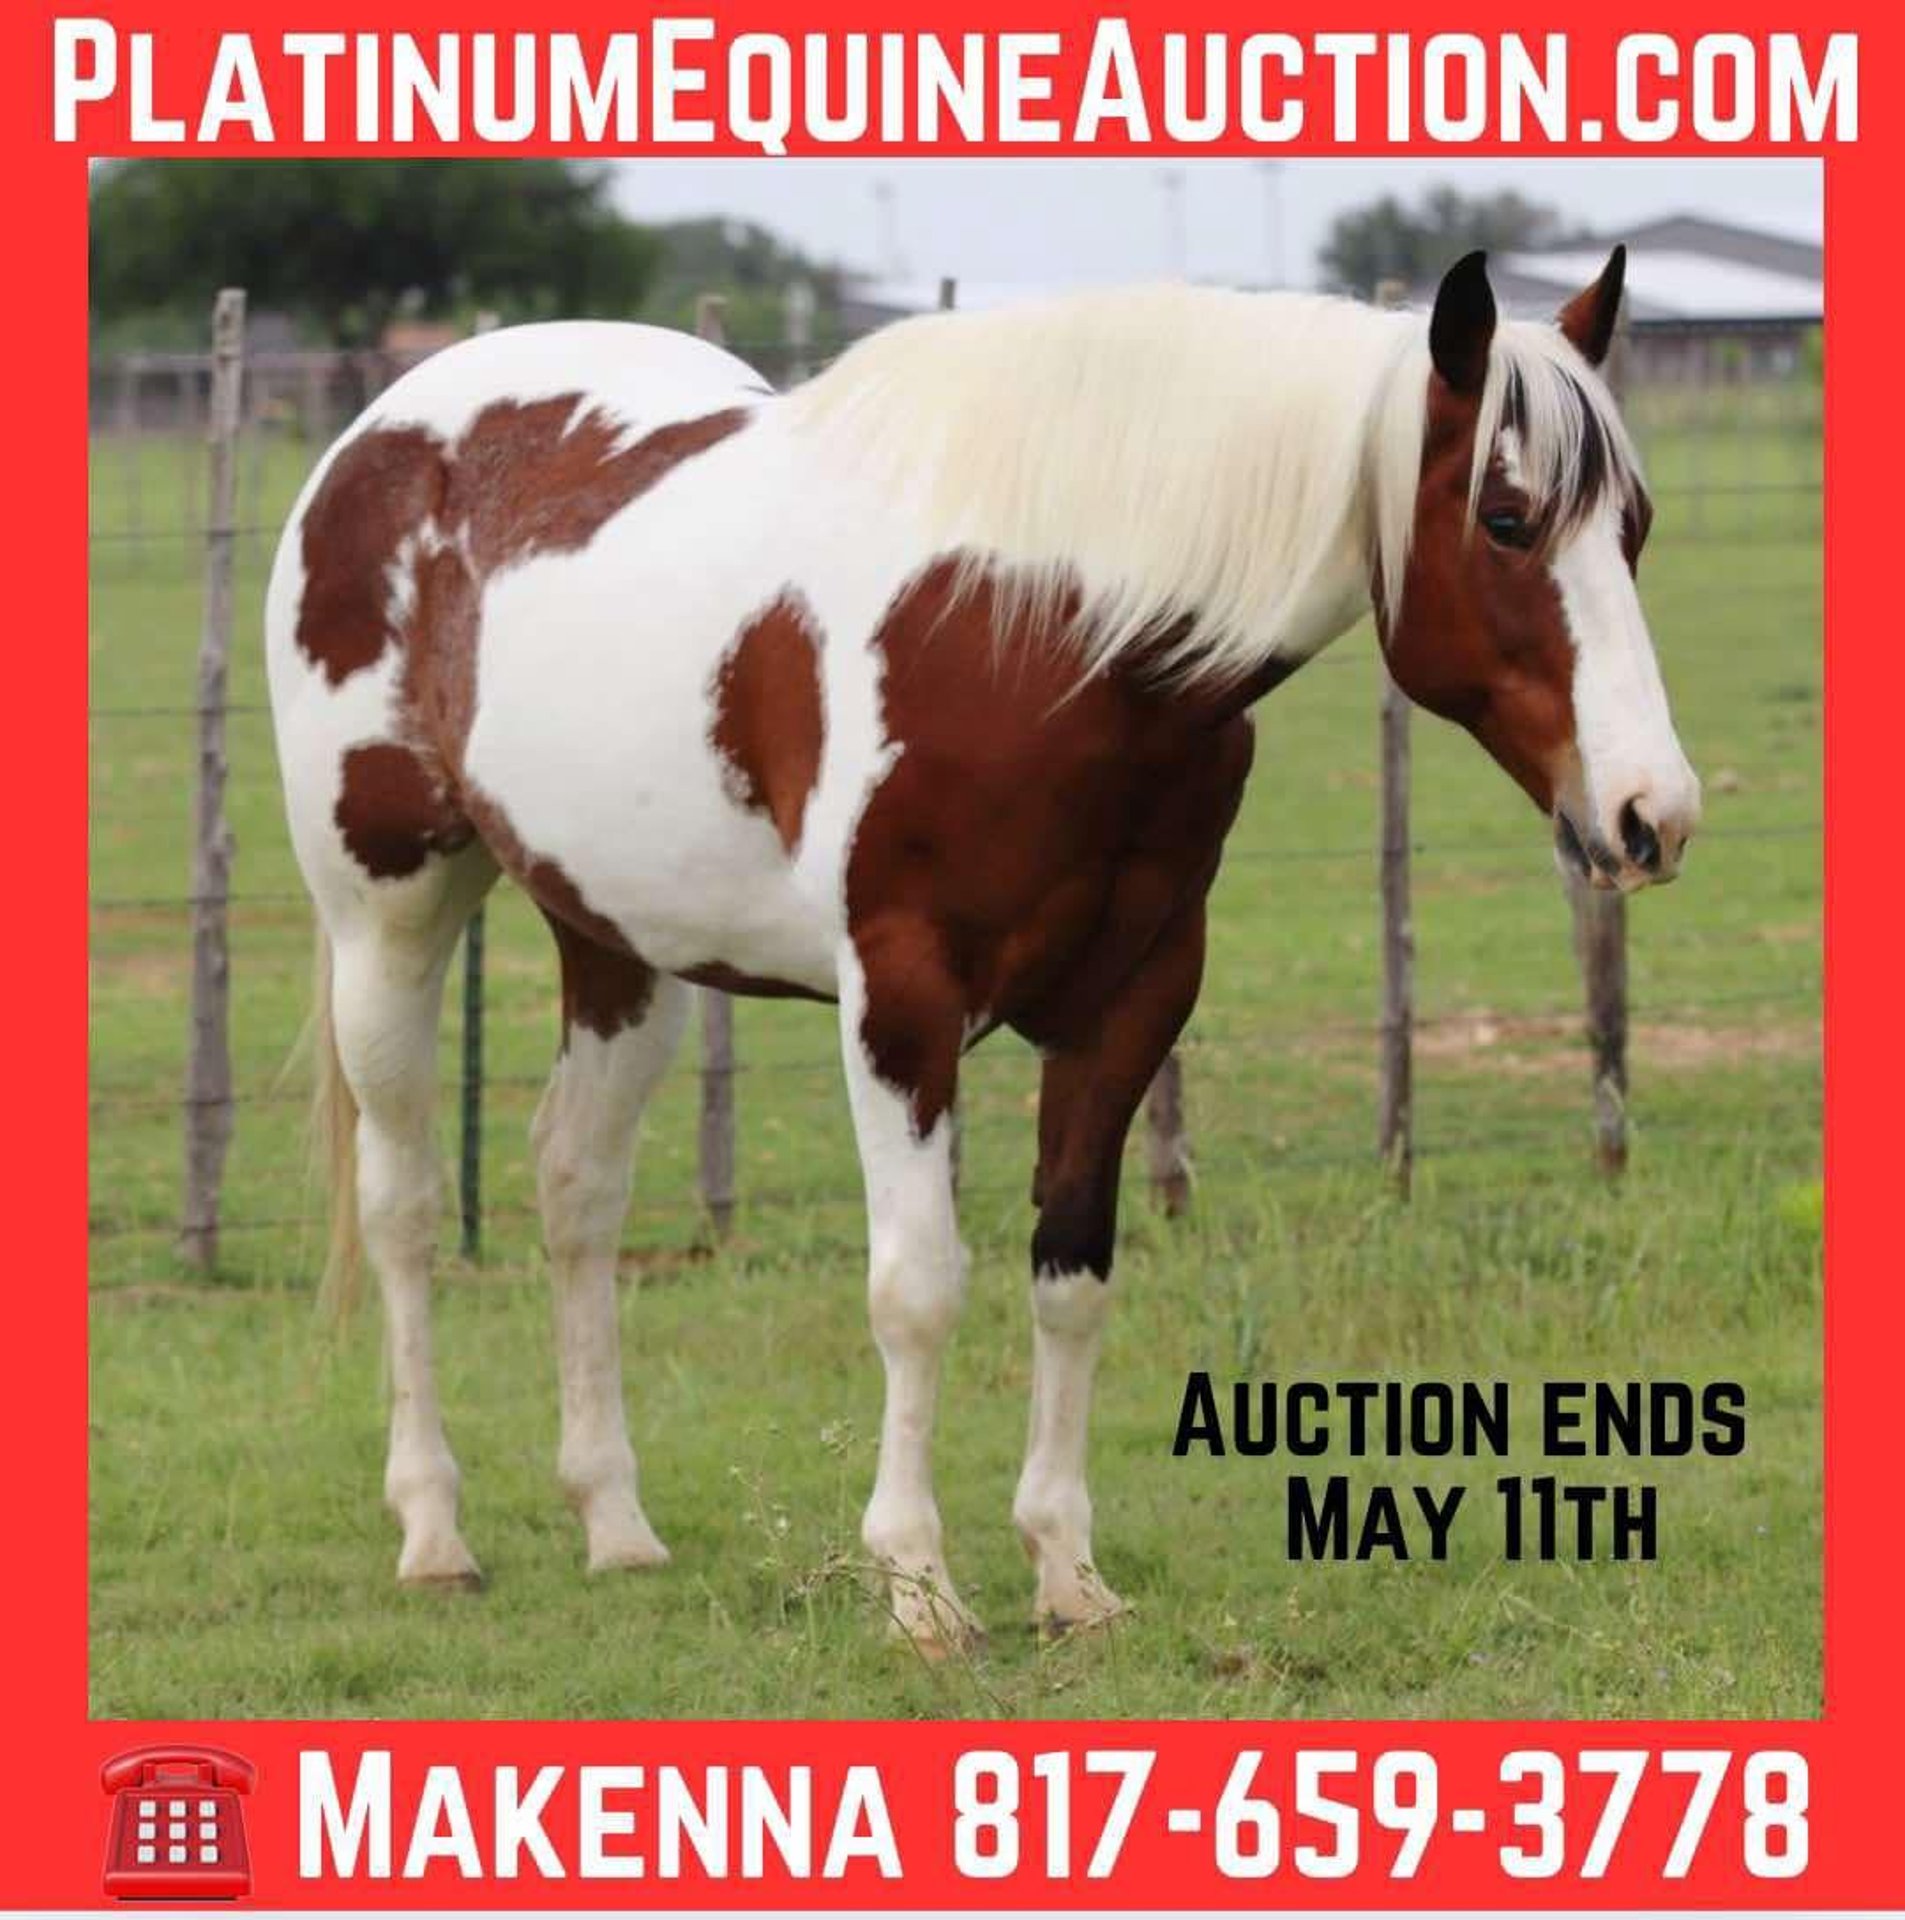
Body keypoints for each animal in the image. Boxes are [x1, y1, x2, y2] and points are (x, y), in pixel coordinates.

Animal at [264, 247, 1700, 1653]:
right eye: (1506, 520)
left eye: (1632, 527)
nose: (1653, 815)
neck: (1044, 630)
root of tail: (382, 438)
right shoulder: (900, 1003)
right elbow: (918, 1291)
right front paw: (917, 1587)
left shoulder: (1131, 999)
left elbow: (1072, 1274)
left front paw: (1067, 1574)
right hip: (387, 916)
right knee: (401, 1210)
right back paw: (434, 1532)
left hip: (613, 938)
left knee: (577, 1188)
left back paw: (615, 1524)